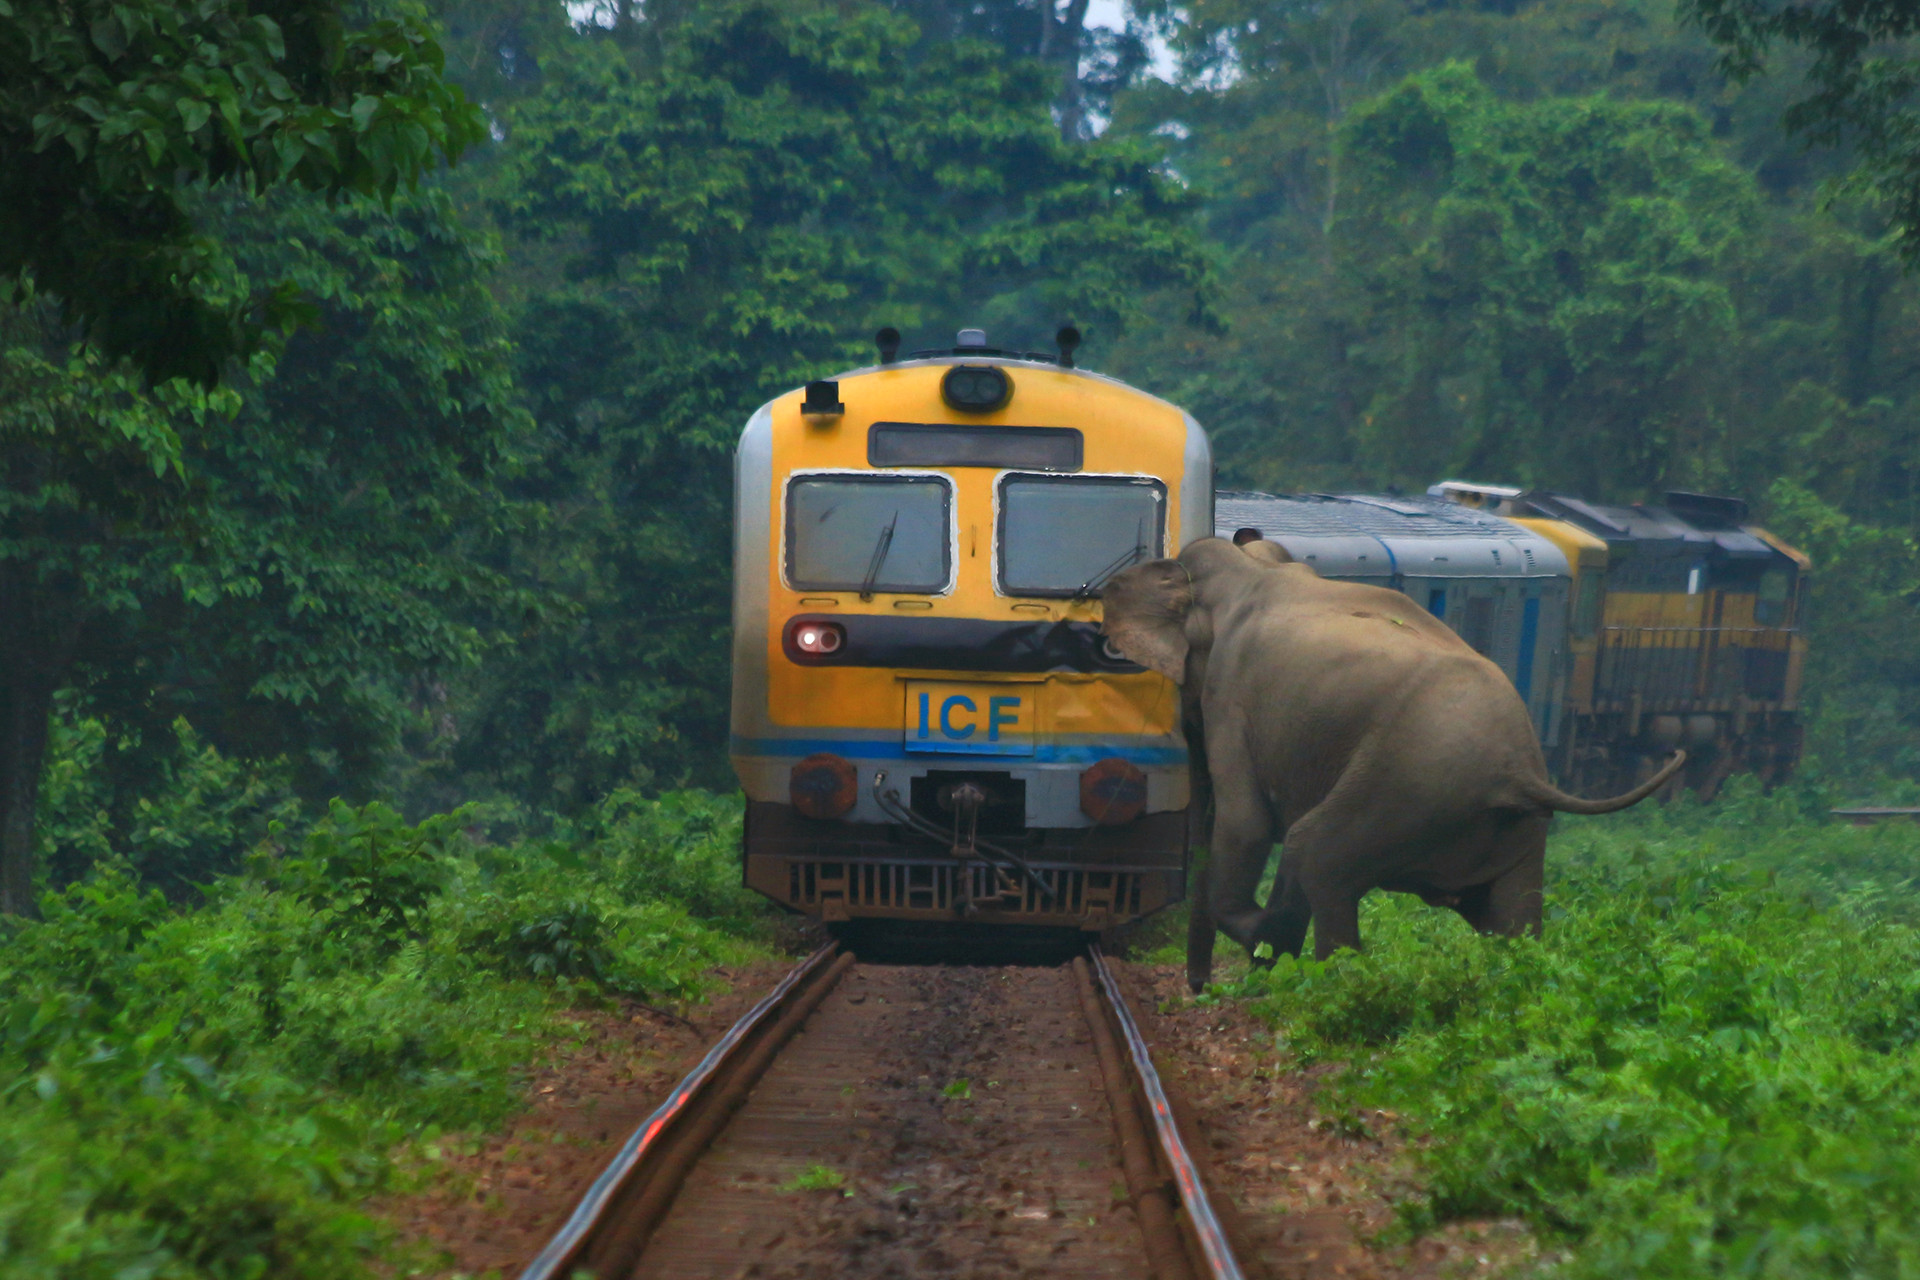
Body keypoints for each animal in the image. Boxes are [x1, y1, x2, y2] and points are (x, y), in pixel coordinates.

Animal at [1102, 536, 1682, 991]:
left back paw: (1323, 978)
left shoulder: (1232, 695)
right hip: (1509, 827)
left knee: (1317, 852)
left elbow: (1246, 825)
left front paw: (1264, 941)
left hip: (1405, 787)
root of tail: (1516, 769)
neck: (1251, 568)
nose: (1198, 988)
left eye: (1191, 699)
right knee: (1511, 921)